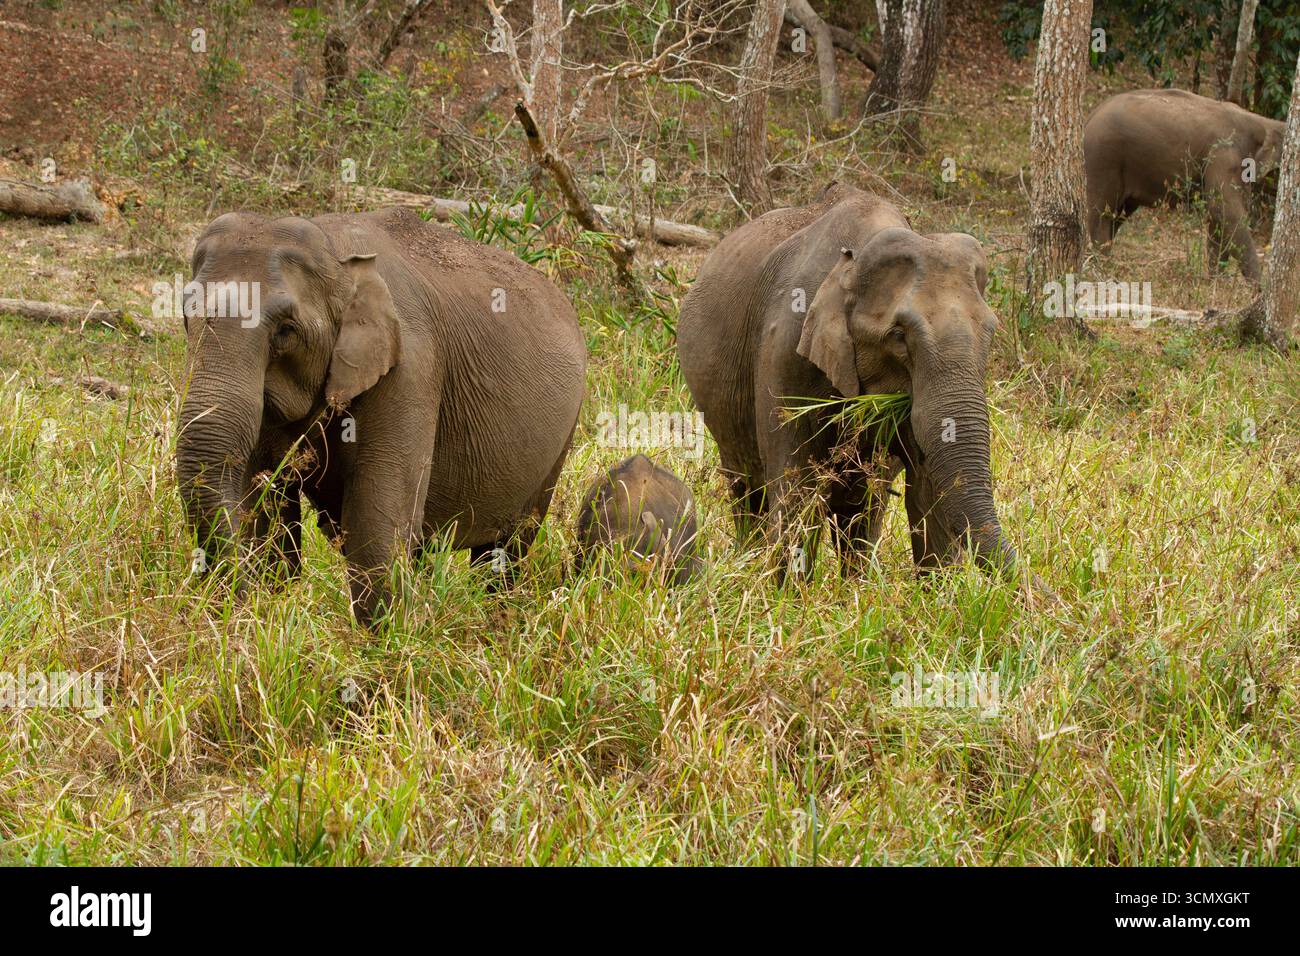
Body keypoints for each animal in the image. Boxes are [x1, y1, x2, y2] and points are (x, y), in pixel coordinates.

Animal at [176, 206, 586, 626]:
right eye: (187, 316)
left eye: (286, 330)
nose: (234, 607)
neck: (335, 251)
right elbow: (261, 506)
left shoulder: (411, 367)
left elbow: (376, 519)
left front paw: (387, 637)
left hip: (562, 438)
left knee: (508, 547)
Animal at [677, 182, 1014, 581]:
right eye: (898, 336)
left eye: (991, 331)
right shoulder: (784, 349)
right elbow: (797, 485)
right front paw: (789, 593)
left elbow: (918, 490)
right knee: (746, 484)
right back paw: (750, 560)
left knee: (856, 506)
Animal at [1083, 88, 1285, 281]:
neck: (1263, 122)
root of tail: (1090, 116)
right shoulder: (1224, 156)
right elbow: (1225, 212)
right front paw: (1260, 288)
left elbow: (1217, 219)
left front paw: (1217, 283)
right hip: (1102, 158)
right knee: (1101, 214)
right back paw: (1102, 269)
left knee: (1117, 215)